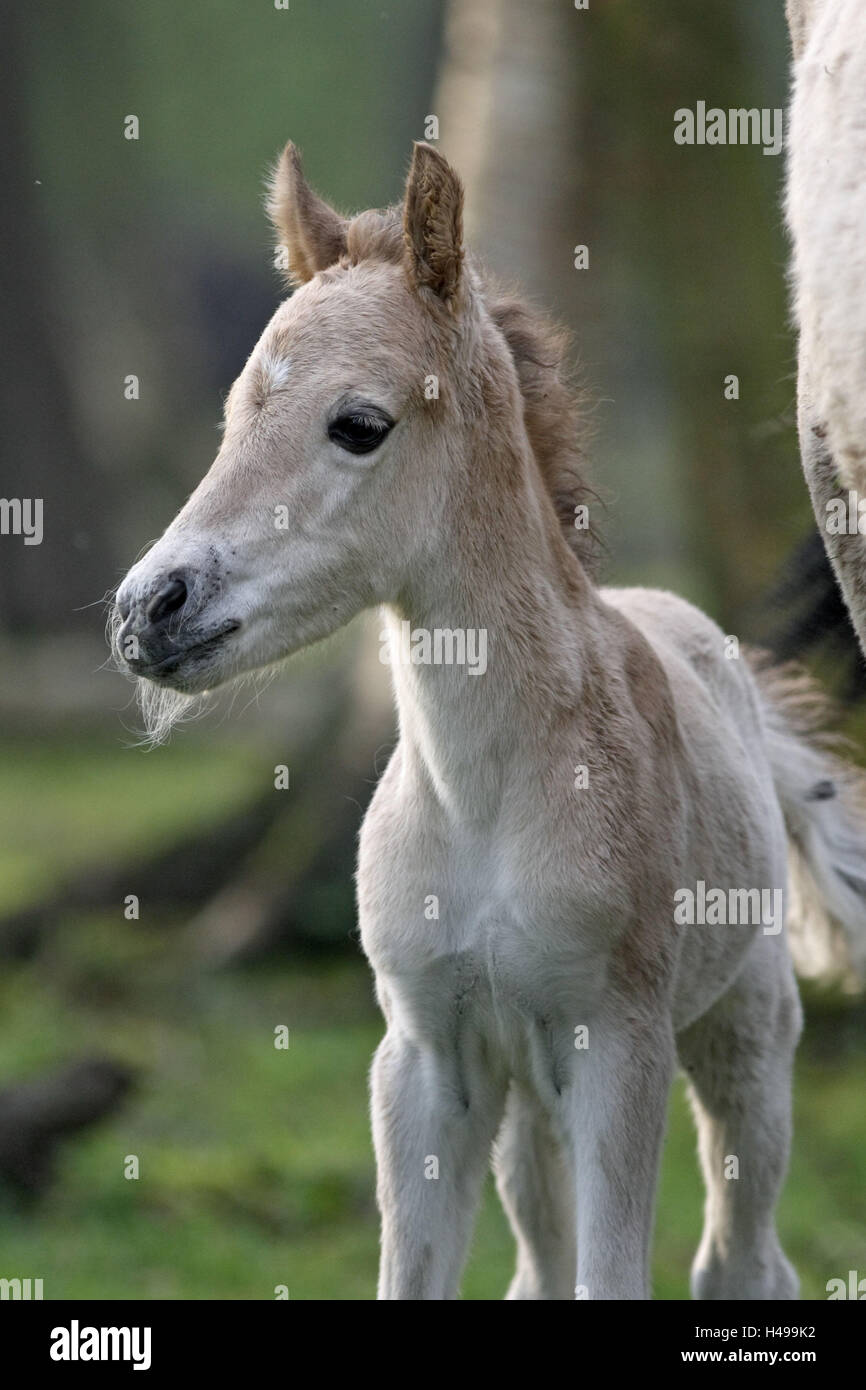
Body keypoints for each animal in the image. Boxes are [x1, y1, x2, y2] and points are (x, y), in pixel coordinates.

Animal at [113, 140, 866, 1299]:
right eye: (236, 413)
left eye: (359, 425)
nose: (149, 609)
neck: (487, 795)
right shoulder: (427, 1059)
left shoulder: (618, 1052)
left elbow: (616, 1275)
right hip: (526, 1101)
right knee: (539, 1266)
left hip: (743, 1036)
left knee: (739, 1258)